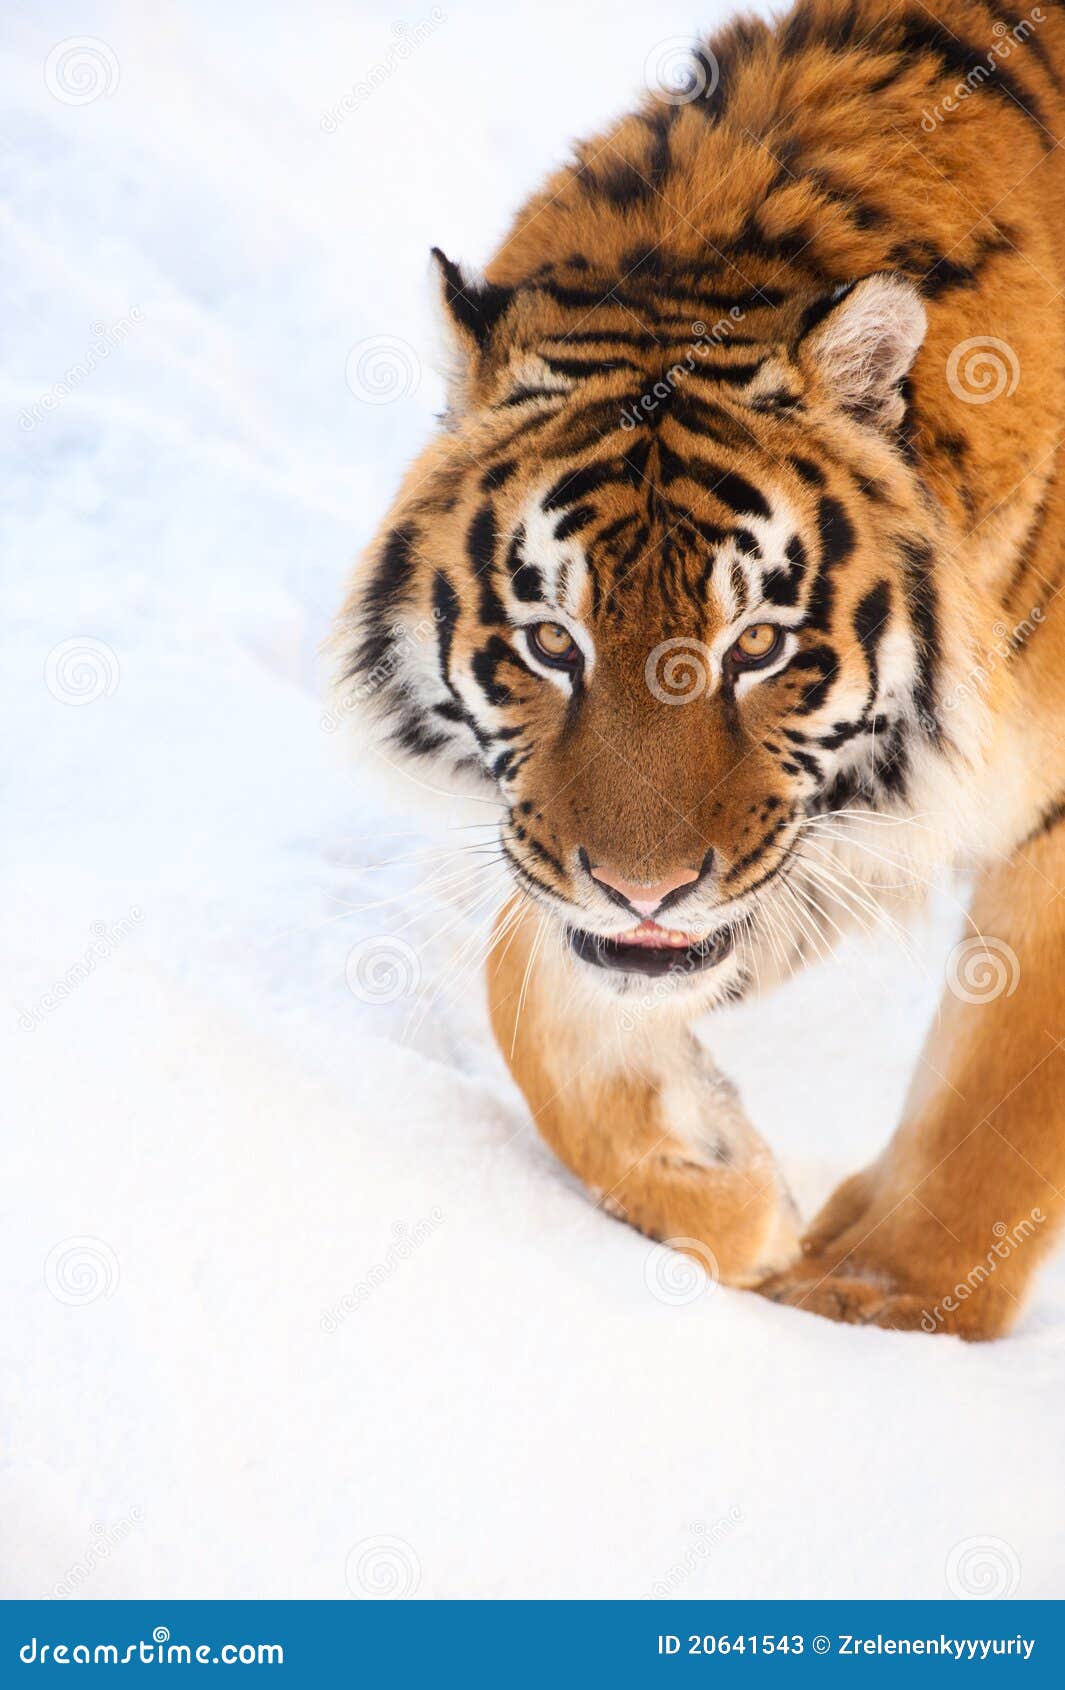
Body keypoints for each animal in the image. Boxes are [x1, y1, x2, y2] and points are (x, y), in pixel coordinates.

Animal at [333, 0, 1065, 1338]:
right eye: (552, 641)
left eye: (758, 646)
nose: (645, 890)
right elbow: (534, 983)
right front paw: (722, 1189)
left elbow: (1007, 1088)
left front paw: (885, 1315)